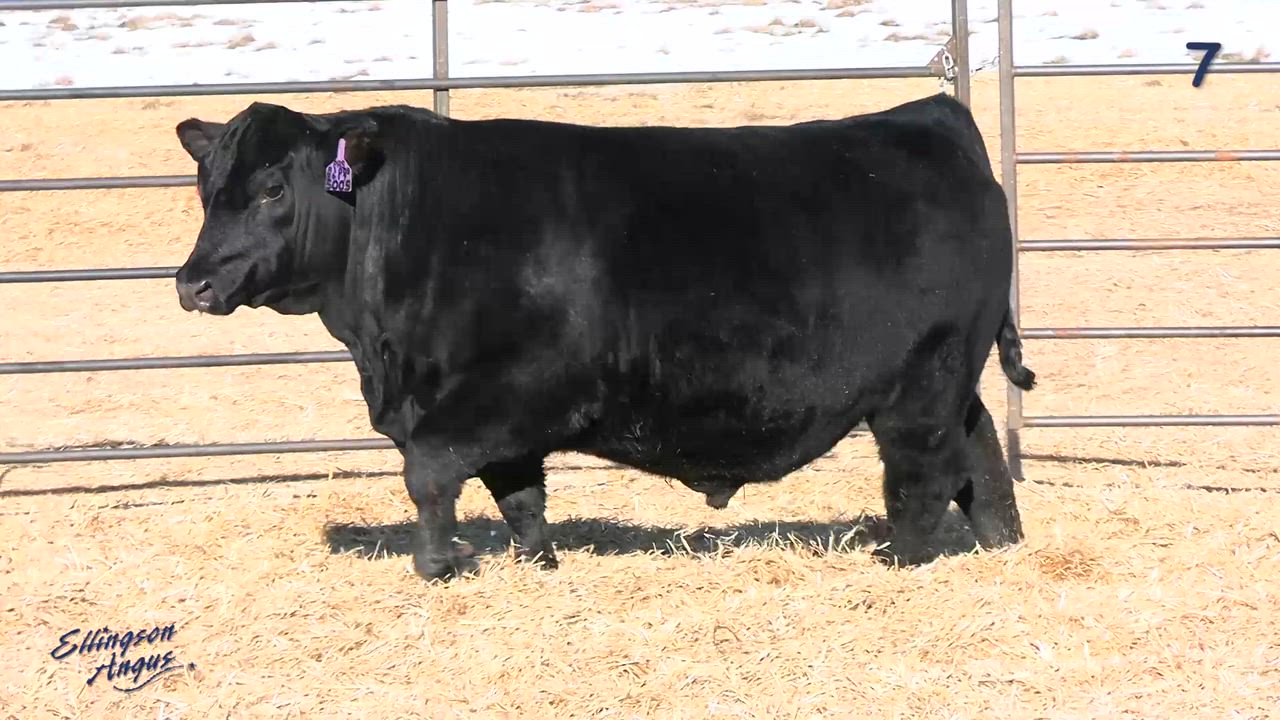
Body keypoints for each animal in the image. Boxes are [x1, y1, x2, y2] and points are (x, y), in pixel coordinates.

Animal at [172, 92, 1036, 582]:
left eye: (273, 188)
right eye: (208, 187)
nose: (193, 282)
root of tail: (931, 117)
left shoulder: (500, 392)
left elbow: (430, 472)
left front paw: (440, 563)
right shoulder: (495, 417)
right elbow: (518, 493)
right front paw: (537, 562)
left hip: (921, 383)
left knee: (926, 470)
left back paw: (900, 559)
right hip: (952, 378)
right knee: (982, 450)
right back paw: (1002, 542)